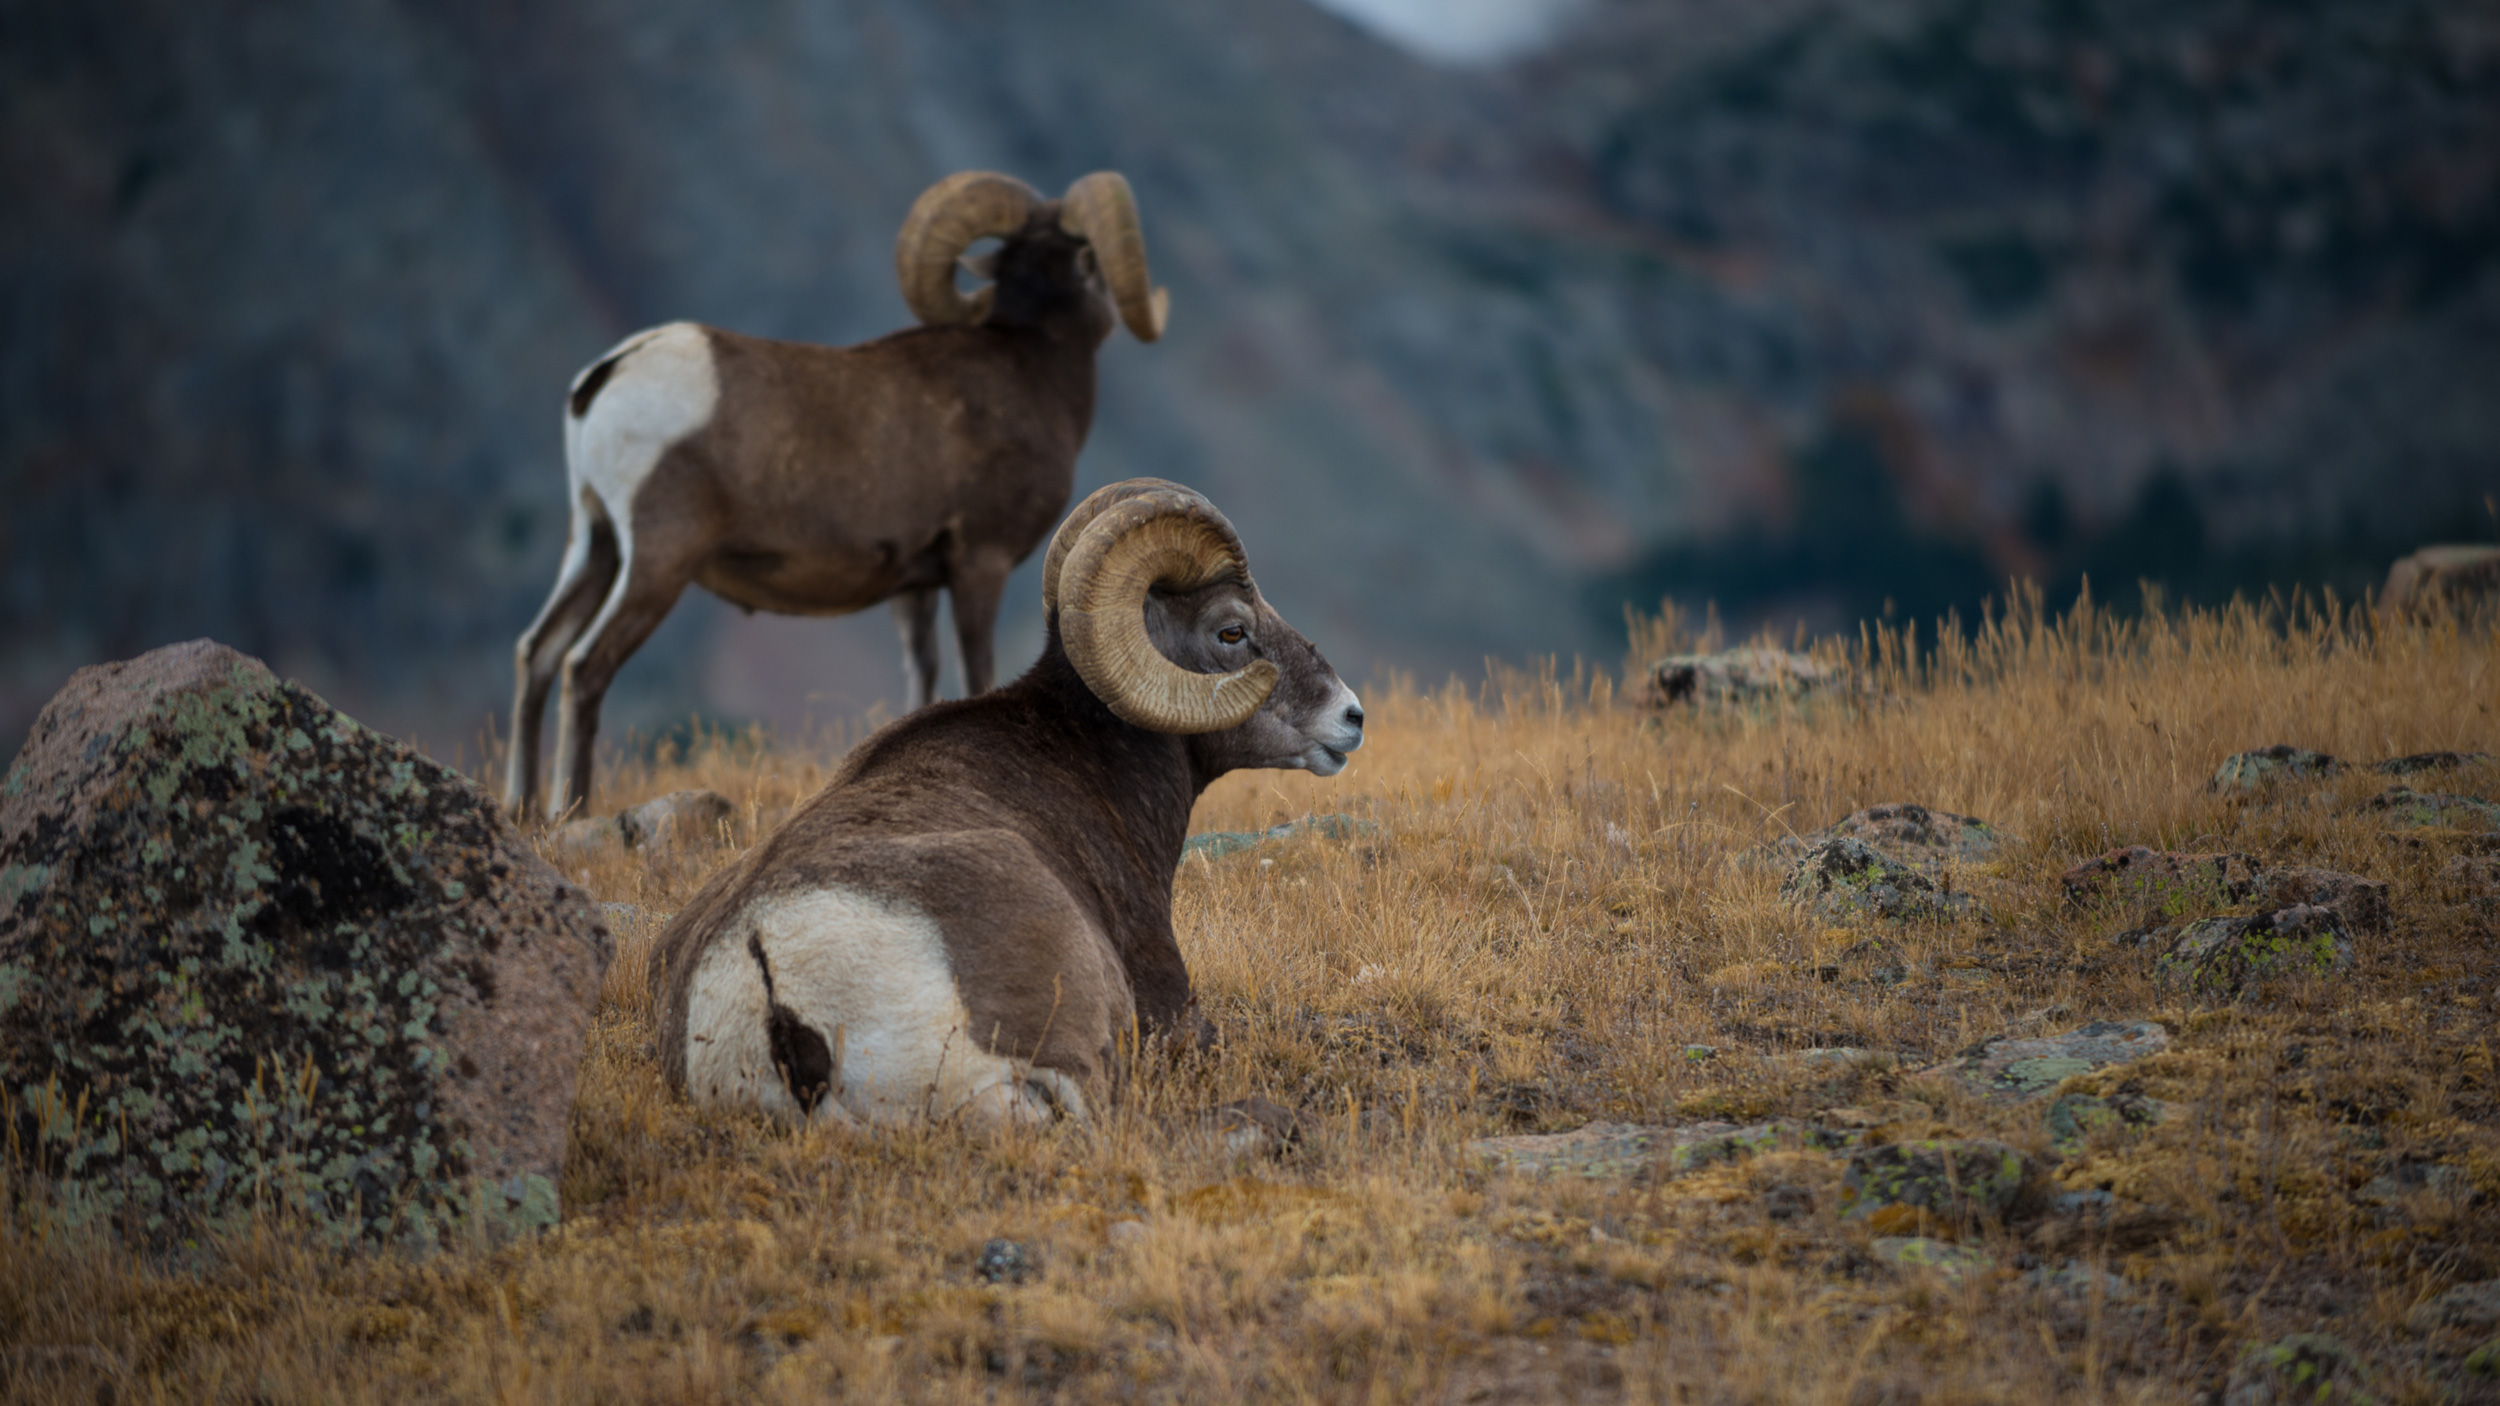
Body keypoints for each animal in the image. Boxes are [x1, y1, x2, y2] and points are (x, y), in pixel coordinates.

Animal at [503, 170, 1170, 821]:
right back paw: (571, 809)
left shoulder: (914, 587)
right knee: (584, 665)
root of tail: (609, 374)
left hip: (595, 546)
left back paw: (524, 807)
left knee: (538, 652)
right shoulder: (981, 563)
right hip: (656, 562)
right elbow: (975, 671)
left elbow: (922, 677)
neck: (1031, 367)